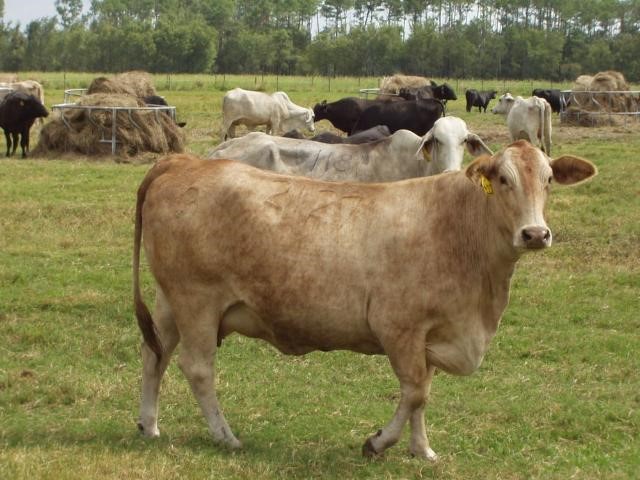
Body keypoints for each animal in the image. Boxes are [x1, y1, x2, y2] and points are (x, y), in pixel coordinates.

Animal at [133, 142, 597, 460]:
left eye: (549, 180)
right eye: (503, 179)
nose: (535, 234)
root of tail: (185, 161)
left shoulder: (430, 334)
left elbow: (423, 394)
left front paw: (421, 450)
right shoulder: (399, 327)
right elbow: (415, 392)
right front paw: (378, 442)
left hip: (171, 301)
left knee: (155, 355)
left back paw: (149, 425)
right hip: (197, 301)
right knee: (197, 368)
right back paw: (225, 436)